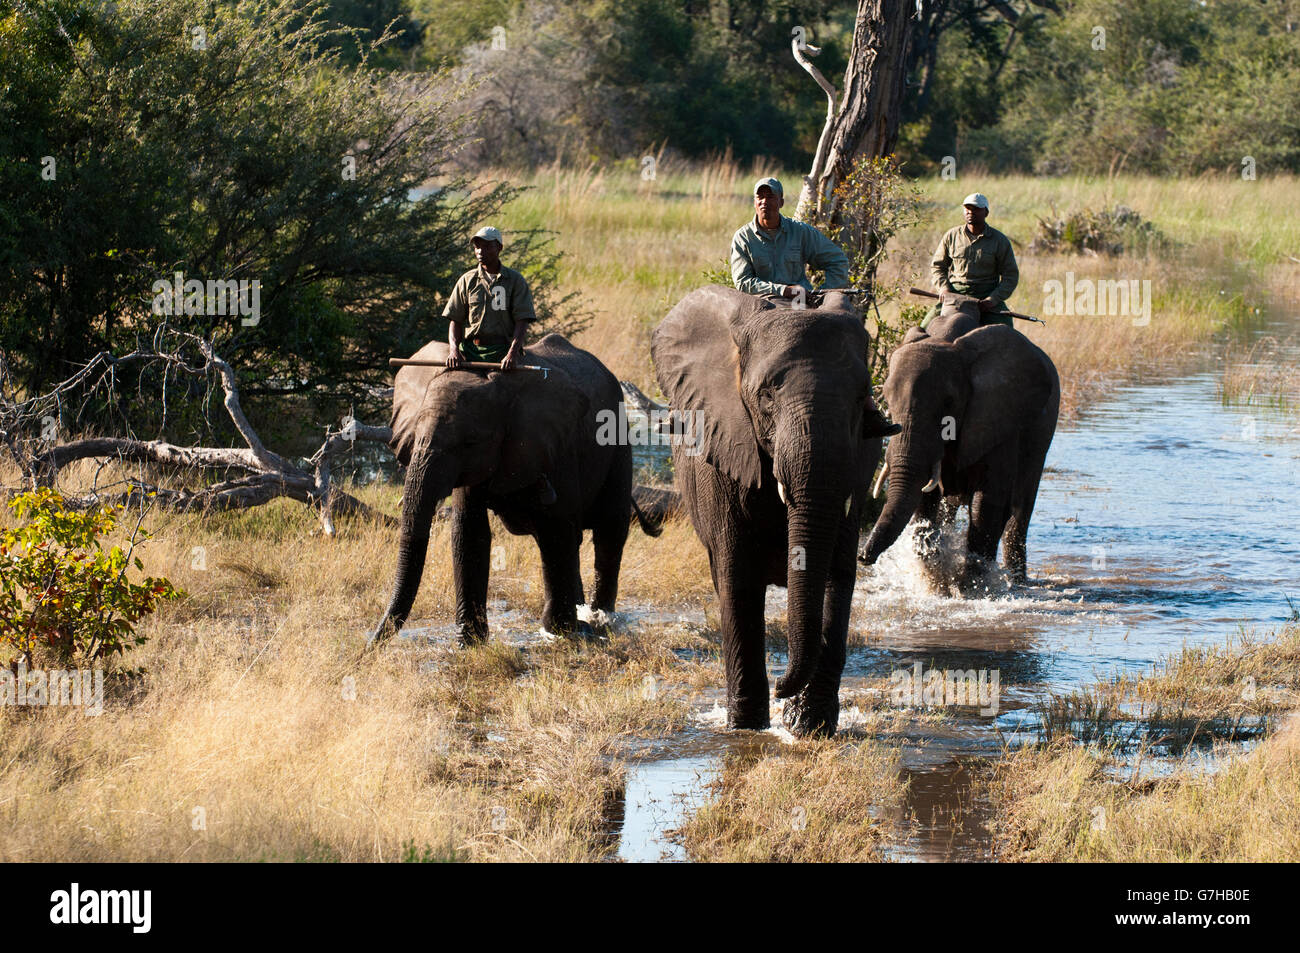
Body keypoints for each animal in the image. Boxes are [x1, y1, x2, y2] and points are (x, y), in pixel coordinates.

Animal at [368, 334, 656, 648]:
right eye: (415, 434)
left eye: (470, 442)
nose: (369, 645)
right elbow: (470, 531)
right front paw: (469, 642)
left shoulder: (556, 446)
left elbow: (557, 529)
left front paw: (559, 632)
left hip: (617, 437)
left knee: (608, 528)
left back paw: (599, 619)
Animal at [651, 286, 884, 737]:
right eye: (766, 397)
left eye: (861, 399)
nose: (781, 687)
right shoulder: (724, 446)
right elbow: (738, 578)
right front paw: (746, 727)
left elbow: (836, 574)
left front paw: (808, 727)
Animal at [858, 293, 1060, 586]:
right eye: (886, 398)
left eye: (949, 403)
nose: (862, 557)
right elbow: (925, 500)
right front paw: (937, 582)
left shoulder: (1003, 417)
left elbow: (987, 503)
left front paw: (973, 587)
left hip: (1041, 435)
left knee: (1020, 510)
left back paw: (1018, 582)